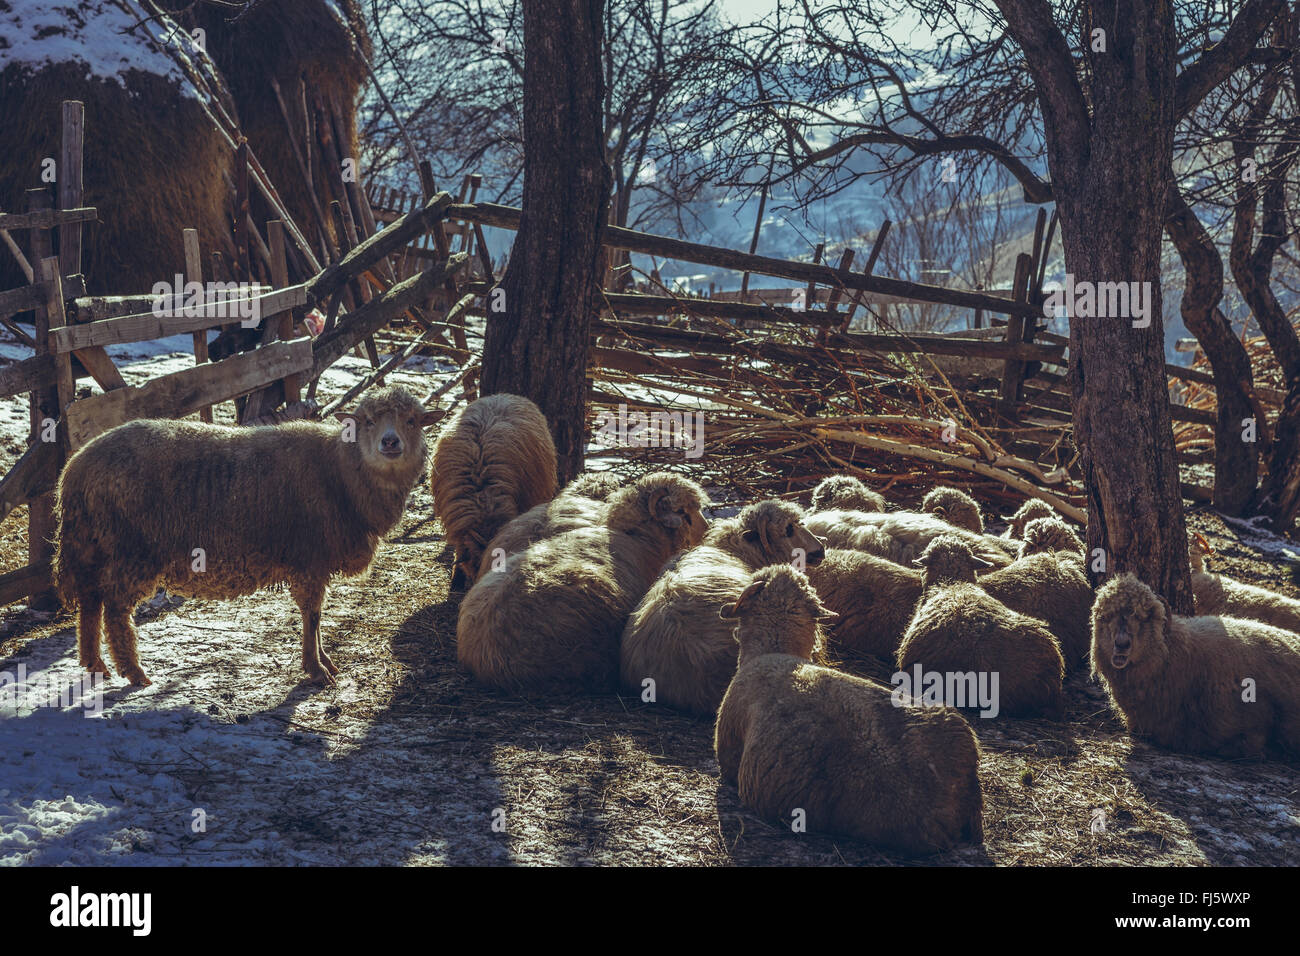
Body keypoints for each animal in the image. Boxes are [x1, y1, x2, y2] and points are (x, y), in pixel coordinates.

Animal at [53, 386, 432, 687]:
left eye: (412, 421)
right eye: (367, 421)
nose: (389, 442)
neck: (341, 471)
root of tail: (77, 466)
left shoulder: (315, 562)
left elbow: (316, 616)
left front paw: (324, 661)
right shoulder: (309, 558)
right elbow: (312, 615)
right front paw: (316, 669)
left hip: (95, 543)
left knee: (90, 601)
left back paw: (95, 665)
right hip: (131, 548)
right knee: (115, 609)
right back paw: (134, 672)